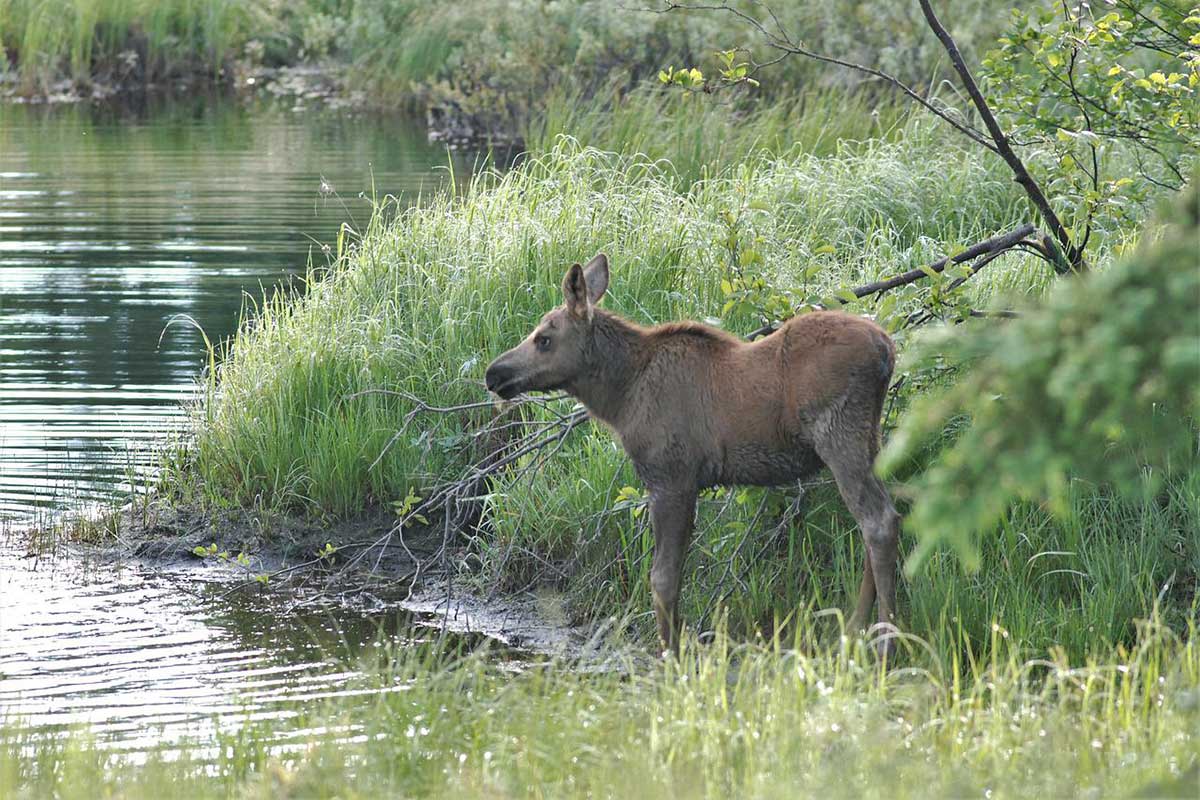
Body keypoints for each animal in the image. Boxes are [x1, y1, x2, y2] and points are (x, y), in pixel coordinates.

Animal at [484, 253, 902, 657]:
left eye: (544, 338)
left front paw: (671, 654)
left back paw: (885, 641)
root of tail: (887, 348)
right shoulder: (686, 483)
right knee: (876, 521)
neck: (621, 395)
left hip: (839, 435)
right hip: (870, 437)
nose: (494, 373)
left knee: (878, 521)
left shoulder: (670, 478)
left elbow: (663, 578)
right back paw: (856, 630)